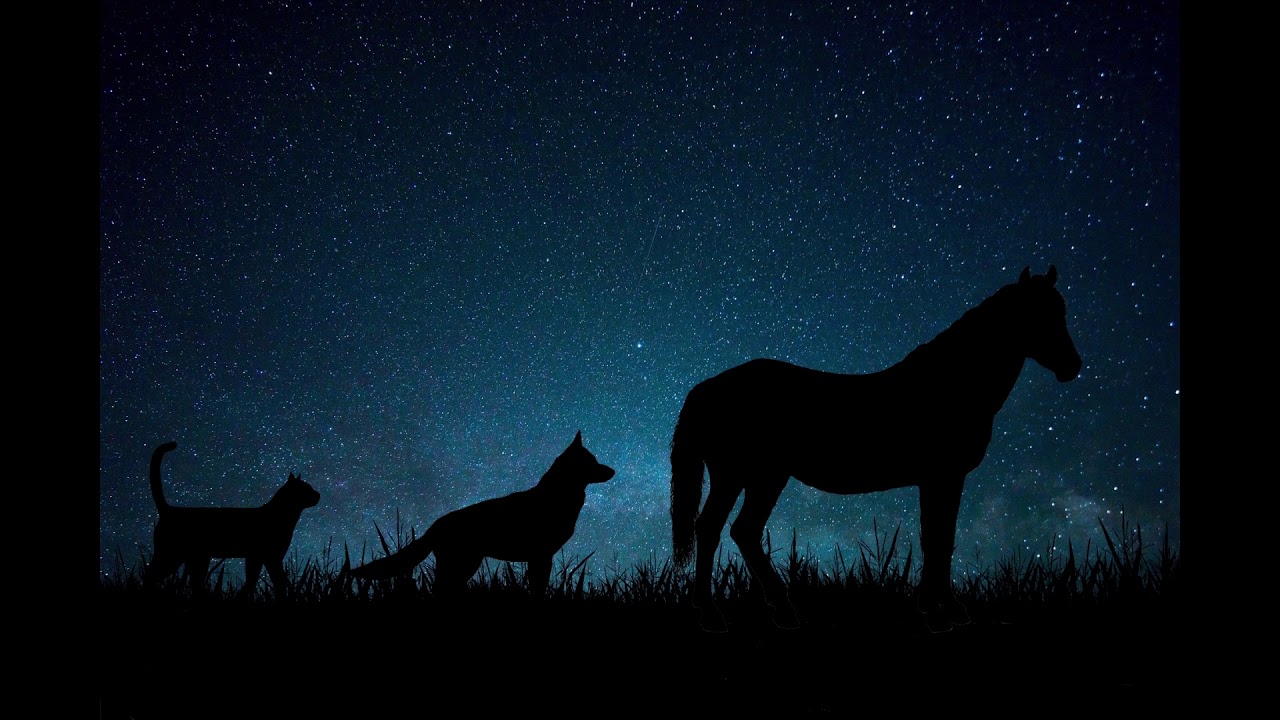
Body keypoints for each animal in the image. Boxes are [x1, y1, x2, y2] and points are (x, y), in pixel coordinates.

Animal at [670, 266, 1082, 633]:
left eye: (1061, 312)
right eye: (1035, 313)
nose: (1072, 366)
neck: (951, 383)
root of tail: (708, 387)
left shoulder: (943, 480)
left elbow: (941, 538)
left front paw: (940, 608)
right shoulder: (941, 477)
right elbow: (936, 539)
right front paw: (939, 612)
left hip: (758, 477)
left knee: (736, 531)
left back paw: (777, 610)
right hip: (741, 475)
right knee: (717, 529)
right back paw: (718, 614)